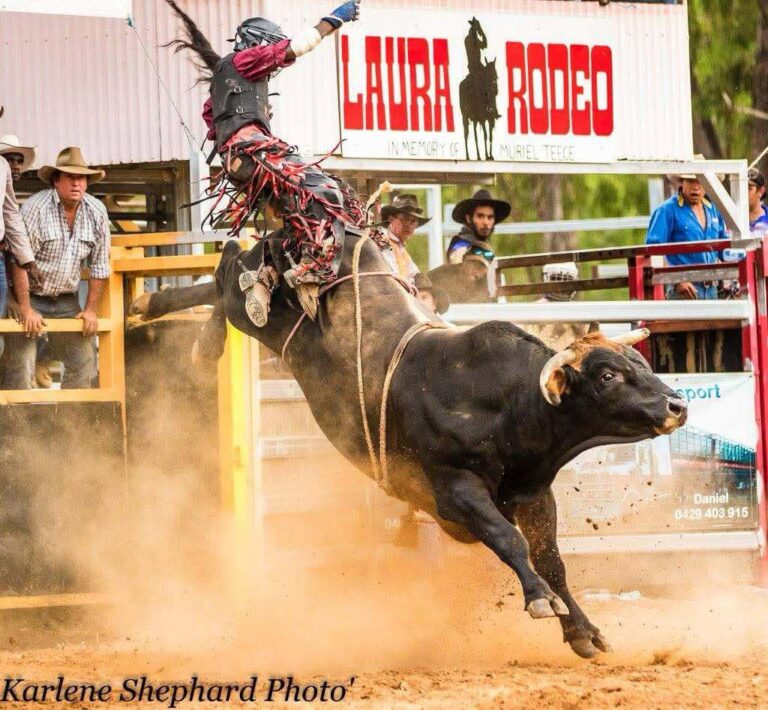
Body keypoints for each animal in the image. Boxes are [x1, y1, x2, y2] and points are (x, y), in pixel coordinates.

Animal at [132, 233, 687, 659]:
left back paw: (150, 308)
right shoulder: (454, 490)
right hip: (259, 315)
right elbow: (509, 540)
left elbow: (551, 558)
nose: (678, 404)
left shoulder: (532, 492)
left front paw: (582, 631)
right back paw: (184, 328)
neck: (504, 399)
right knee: (229, 271)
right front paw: (538, 600)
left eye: (640, 364)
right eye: (608, 375)